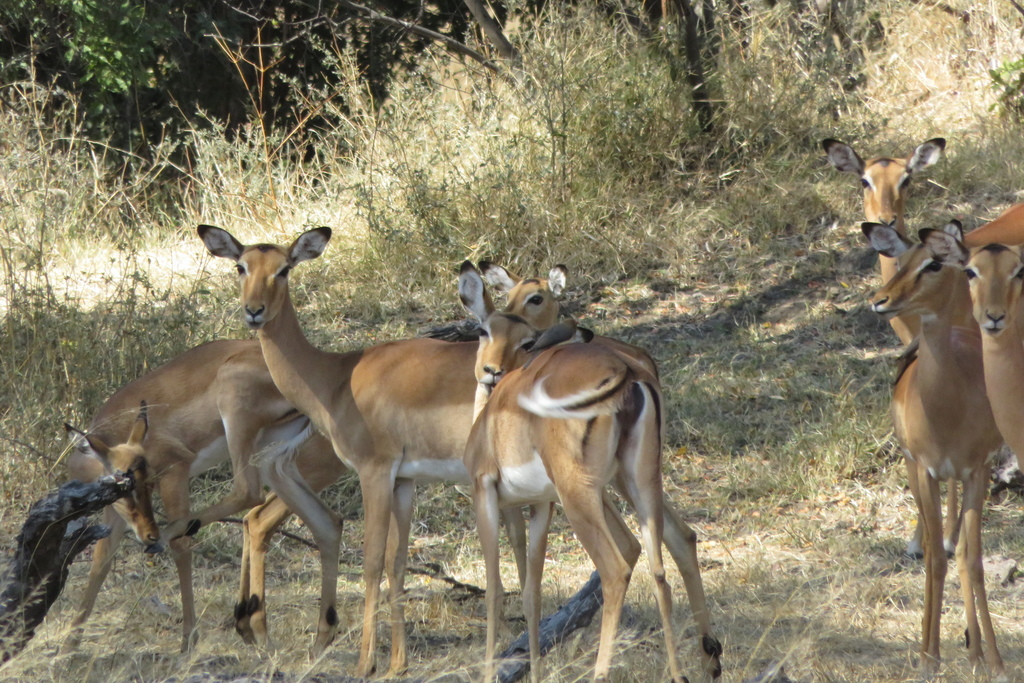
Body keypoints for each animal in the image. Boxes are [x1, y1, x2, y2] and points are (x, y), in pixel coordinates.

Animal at [63, 338, 332, 653]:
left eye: (149, 481)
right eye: (124, 484)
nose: (149, 534)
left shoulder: (175, 472)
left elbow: (181, 548)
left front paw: (188, 640)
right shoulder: (116, 511)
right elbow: (101, 562)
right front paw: (68, 647)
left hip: (239, 424)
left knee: (247, 494)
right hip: (276, 458)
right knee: (324, 523)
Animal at [459, 262, 722, 683]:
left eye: (526, 338)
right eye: (485, 330)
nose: (491, 371)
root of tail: (629, 372)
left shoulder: (486, 493)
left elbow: (497, 589)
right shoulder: (540, 505)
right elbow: (531, 593)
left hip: (582, 495)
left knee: (617, 567)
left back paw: (603, 672)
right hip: (638, 481)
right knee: (668, 555)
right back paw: (693, 666)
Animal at [865, 221, 1005, 679]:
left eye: (934, 264)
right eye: (902, 260)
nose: (881, 300)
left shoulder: (977, 471)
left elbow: (971, 559)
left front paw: (992, 660)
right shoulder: (924, 472)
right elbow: (935, 560)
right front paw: (929, 656)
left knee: (957, 550)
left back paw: (975, 651)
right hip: (921, 474)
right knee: (935, 548)